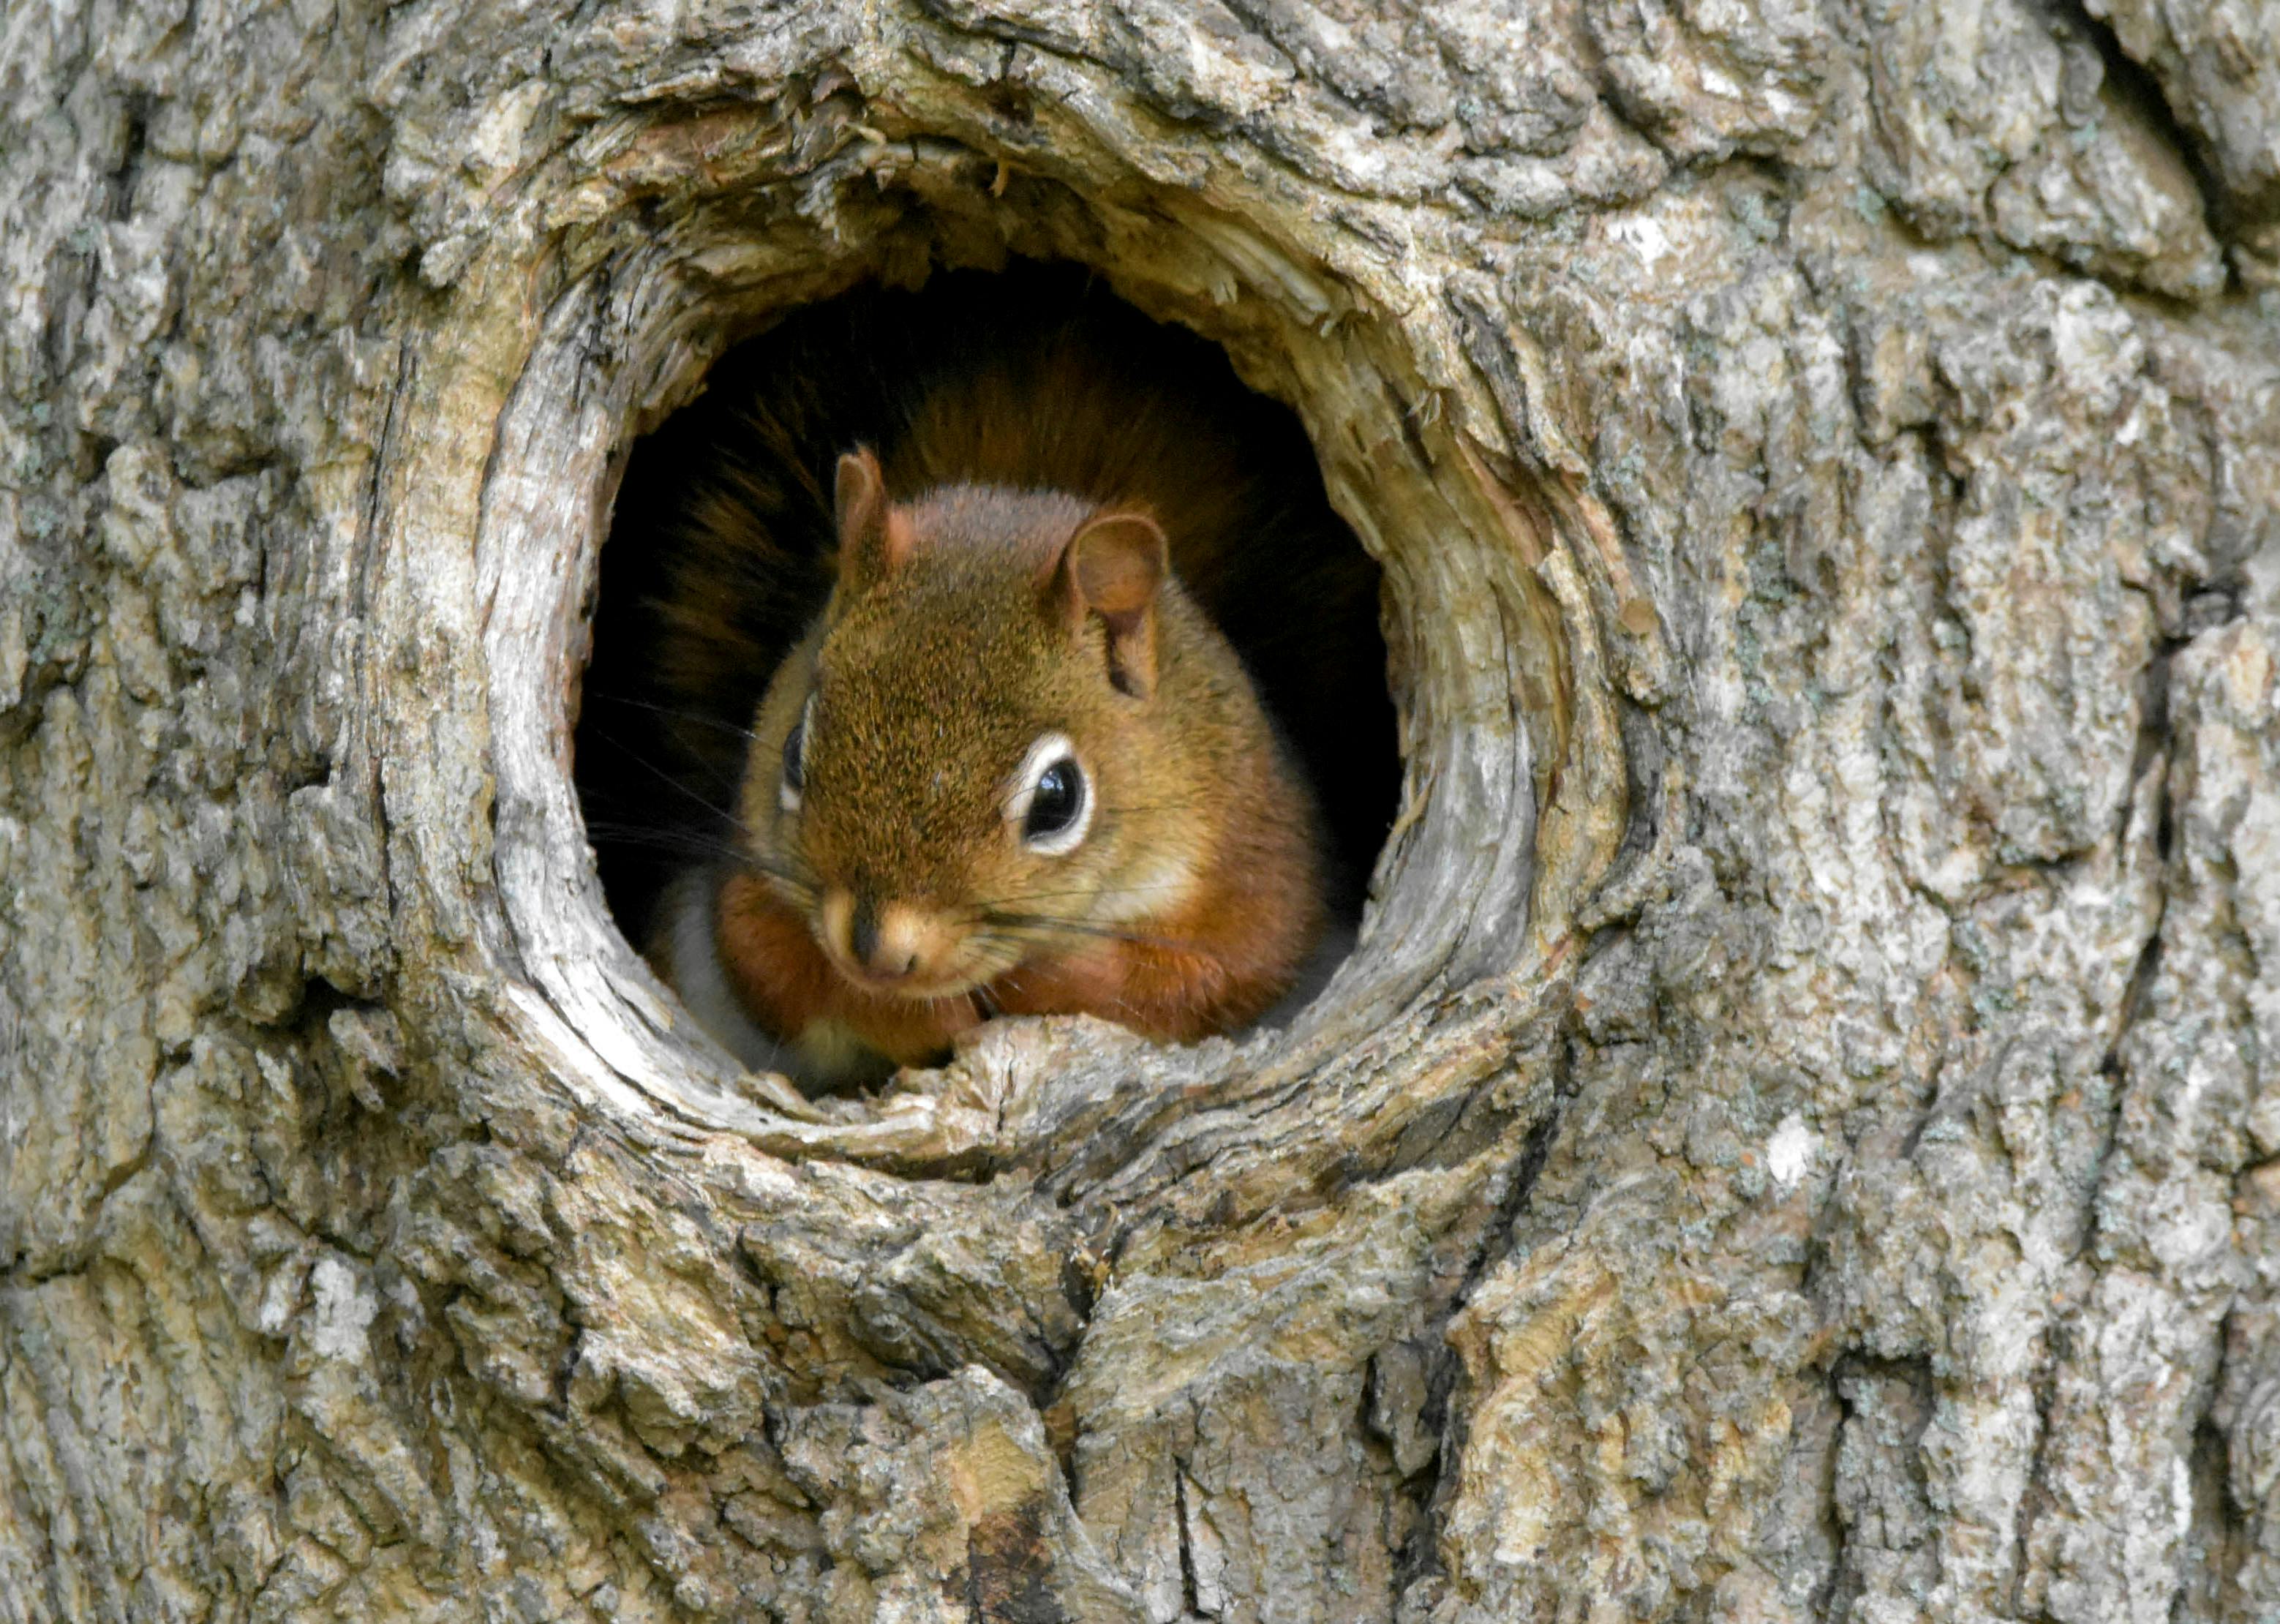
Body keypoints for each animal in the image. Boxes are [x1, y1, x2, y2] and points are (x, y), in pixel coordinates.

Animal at [577, 268, 1392, 1089]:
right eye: (794, 752)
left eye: (1058, 799)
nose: (878, 951)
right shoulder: (749, 878)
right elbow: (767, 961)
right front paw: (912, 1010)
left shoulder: (1258, 871)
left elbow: (1213, 980)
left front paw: (1042, 980)